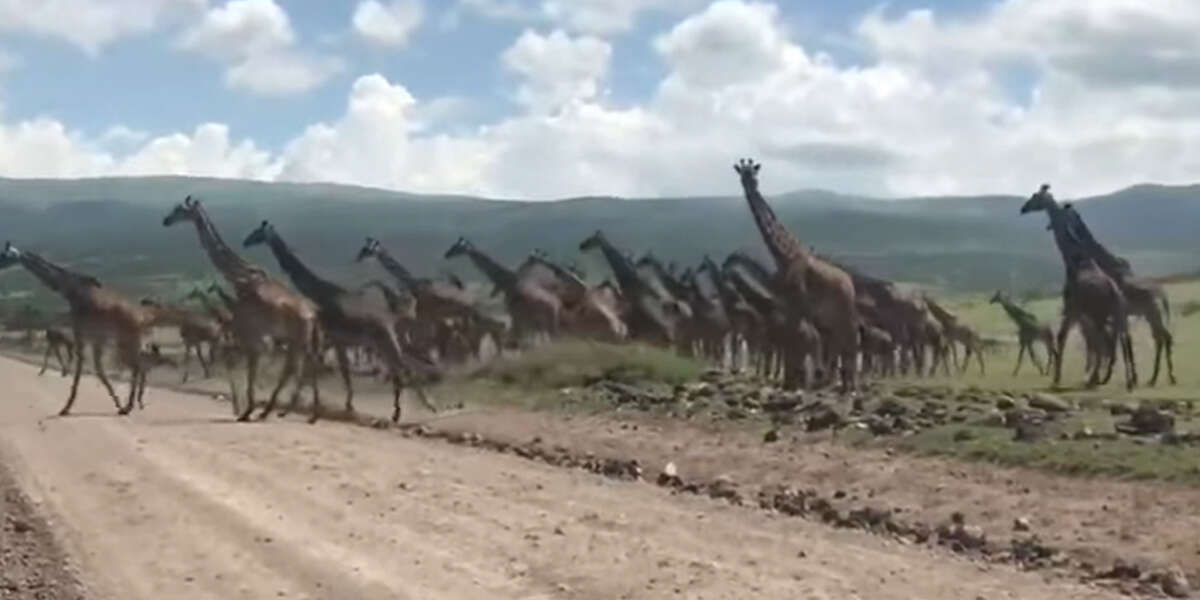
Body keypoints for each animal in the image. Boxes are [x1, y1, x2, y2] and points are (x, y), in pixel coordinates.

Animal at [0, 244, 162, 416]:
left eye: (4, 255)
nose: (0, 264)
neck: (69, 290)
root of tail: (144, 319)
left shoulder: (81, 331)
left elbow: (82, 367)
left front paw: (66, 407)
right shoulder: (95, 337)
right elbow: (98, 369)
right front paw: (117, 402)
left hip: (127, 341)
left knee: (137, 366)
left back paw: (130, 405)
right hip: (129, 342)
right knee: (141, 364)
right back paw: (137, 402)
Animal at [163, 197, 324, 422]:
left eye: (180, 209)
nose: (166, 220)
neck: (239, 276)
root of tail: (313, 316)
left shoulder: (248, 329)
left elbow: (246, 368)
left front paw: (245, 410)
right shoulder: (250, 332)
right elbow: (246, 367)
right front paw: (245, 408)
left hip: (298, 339)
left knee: (294, 368)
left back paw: (272, 411)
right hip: (300, 340)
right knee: (303, 366)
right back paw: (300, 413)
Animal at [244, 221, 441, 422]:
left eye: (257, 232)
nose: (245, 242)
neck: (319, 291)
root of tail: (391, 322)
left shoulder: (333, 338)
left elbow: (328, 370)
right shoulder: (336, 340)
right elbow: (336, 371)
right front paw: (347, 405)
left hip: (387, 343)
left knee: (406, 369)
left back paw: (427, 407)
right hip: (381, 346)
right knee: (399, 370)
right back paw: (398, 411)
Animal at [733, 159, 859, 392]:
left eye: (754, 174)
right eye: (742, 175)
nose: (750, 185)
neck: (784, 256)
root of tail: (849, 281)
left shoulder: (799, 306)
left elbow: (798, 341)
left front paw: (798, 380)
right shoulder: (786, 306)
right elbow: (791, 341)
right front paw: (791, 380)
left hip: (844, 312)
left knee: (850, 340)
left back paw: (848, 383)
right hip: (827, 318)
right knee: (835, 342)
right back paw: (833, 380)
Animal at [1020, 185, 1136, 389]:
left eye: (1035, 196)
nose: (1023, 208)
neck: (1075, 260)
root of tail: (1113, 292)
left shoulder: (1071, 307)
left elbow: (1062, 338)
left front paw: (1056, 378)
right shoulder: (1080, 312)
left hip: (1099, 315)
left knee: (1104, 339)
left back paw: (1098, 377)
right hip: (1117, 312)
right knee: (1119, 337)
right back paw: (1125, 379)